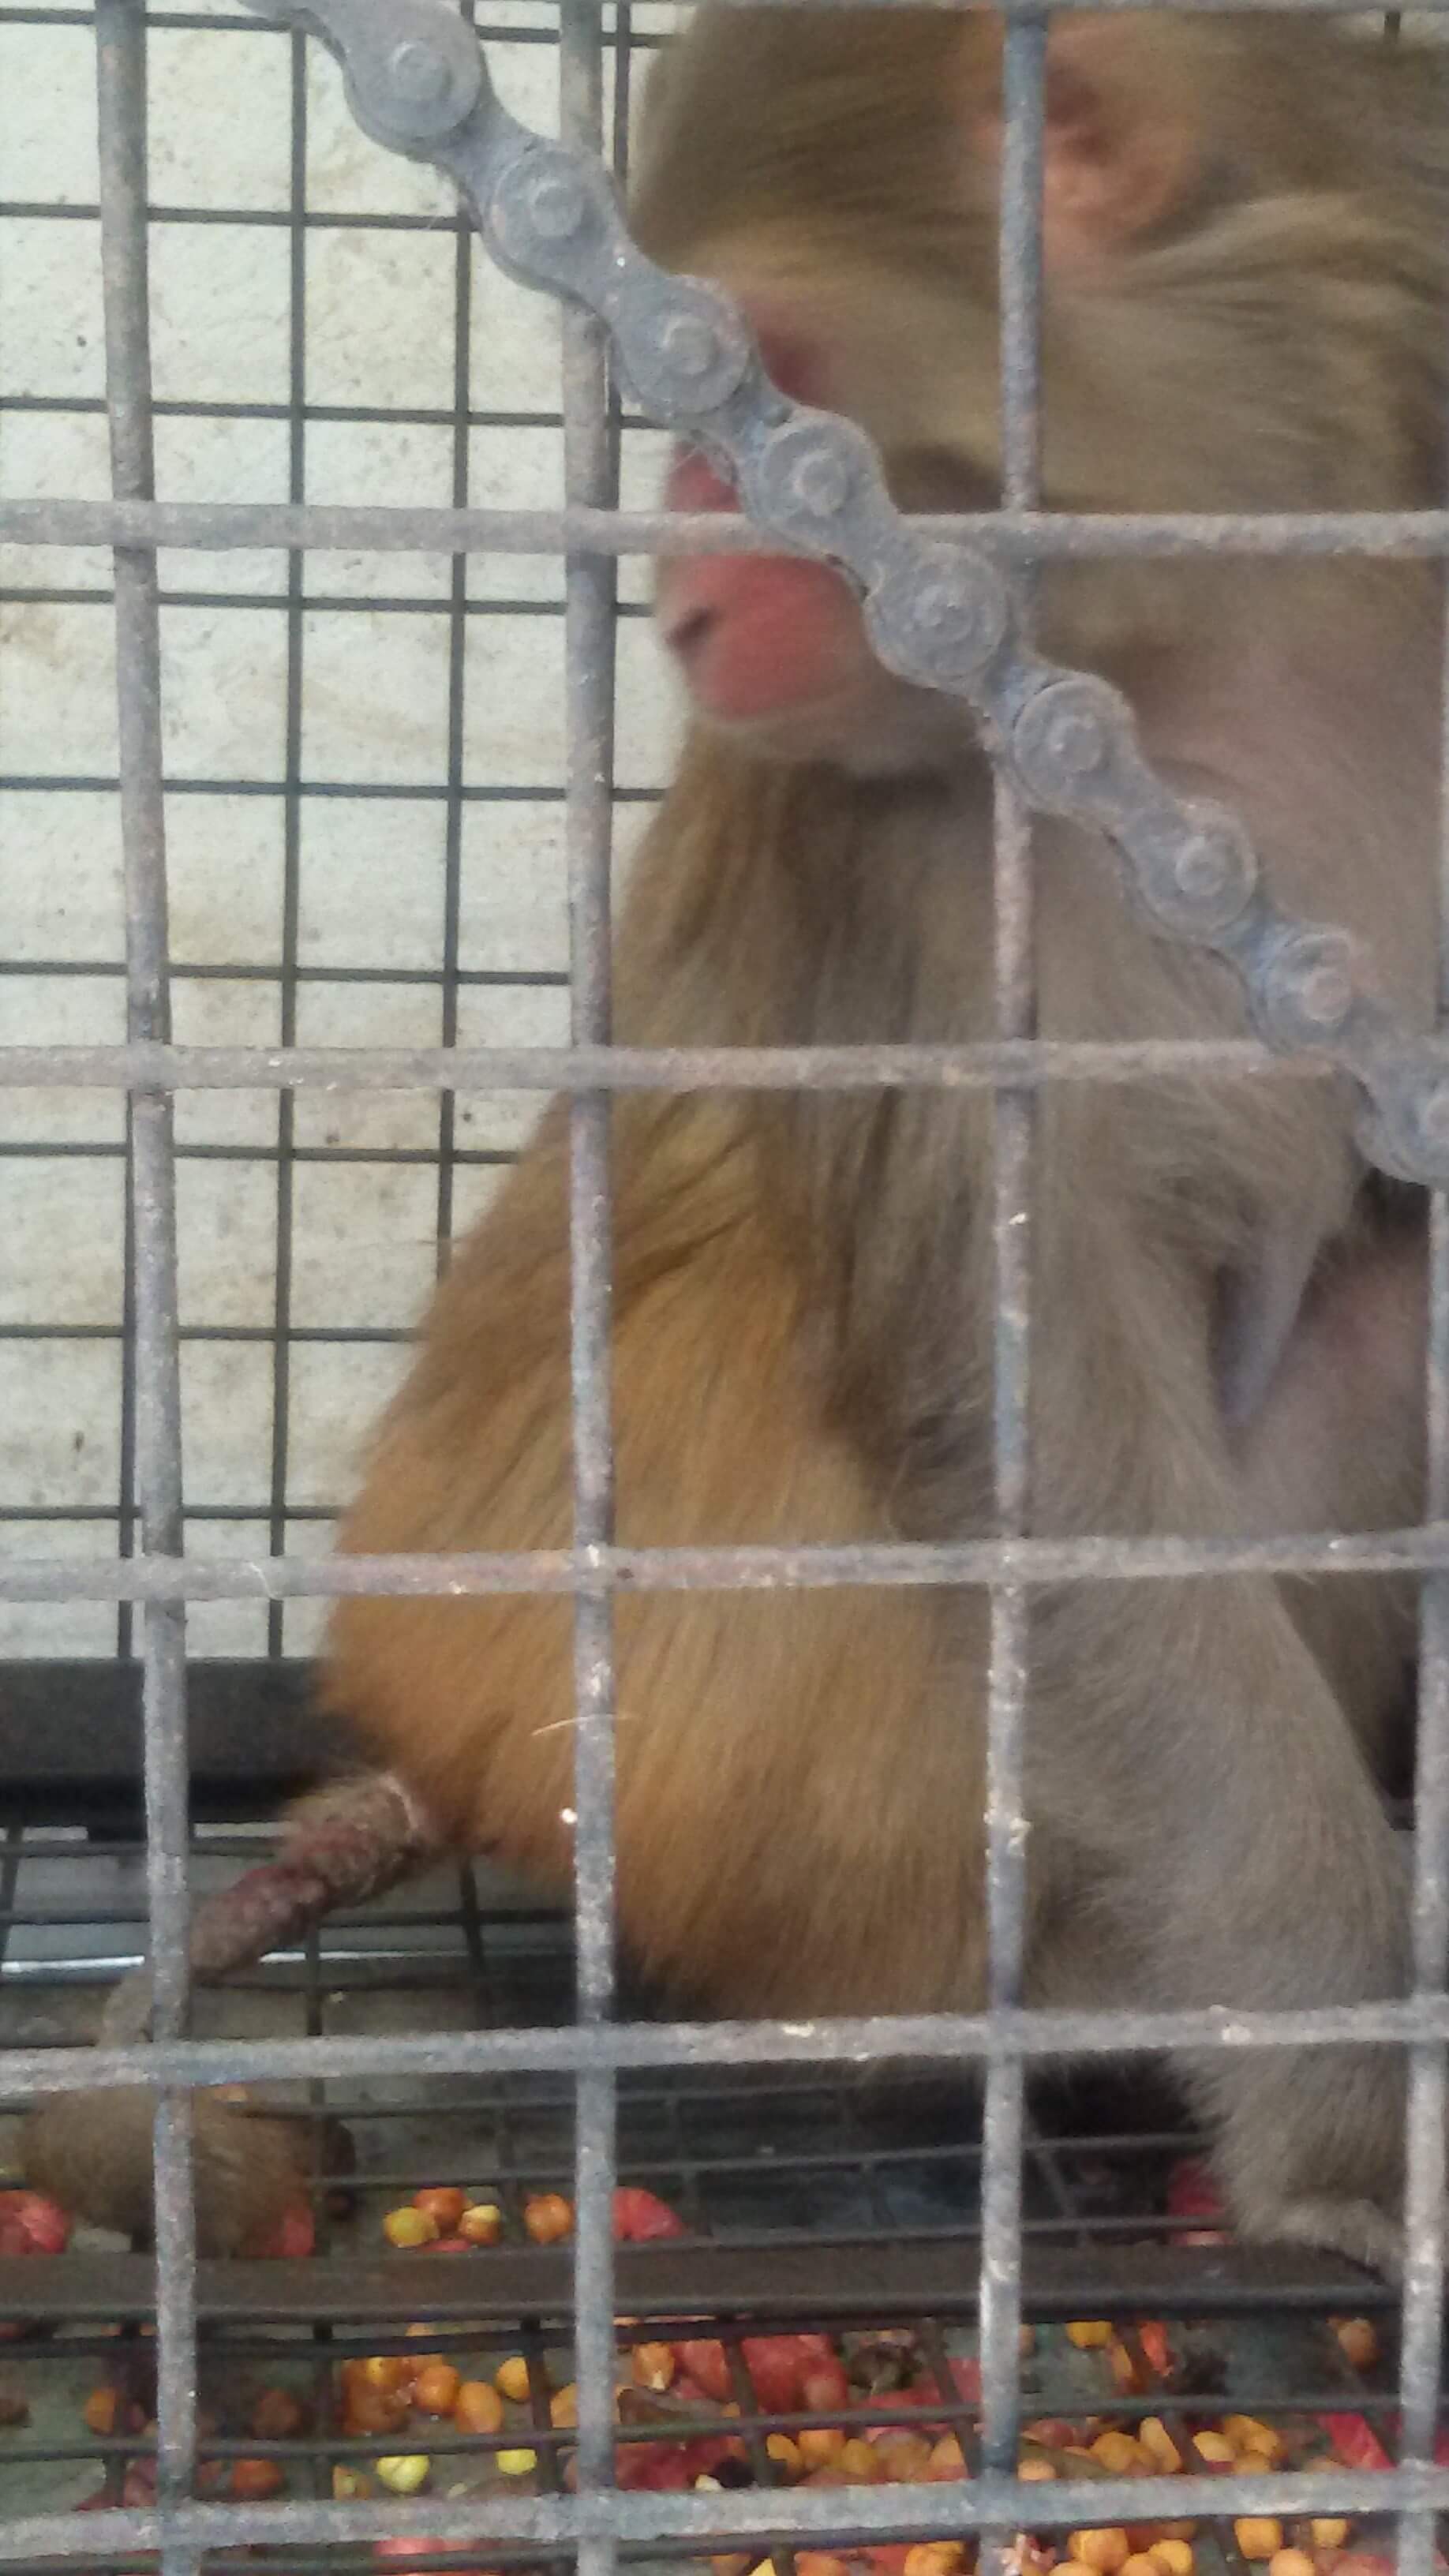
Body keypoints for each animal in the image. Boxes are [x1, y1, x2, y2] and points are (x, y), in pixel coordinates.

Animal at [25, 11, 1449, 2273]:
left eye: (752, 399)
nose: (682, 592)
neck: (1222, 644)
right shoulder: (897, 861)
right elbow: (1037, 1433)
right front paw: (1349, 2107)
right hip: (652, 1735)